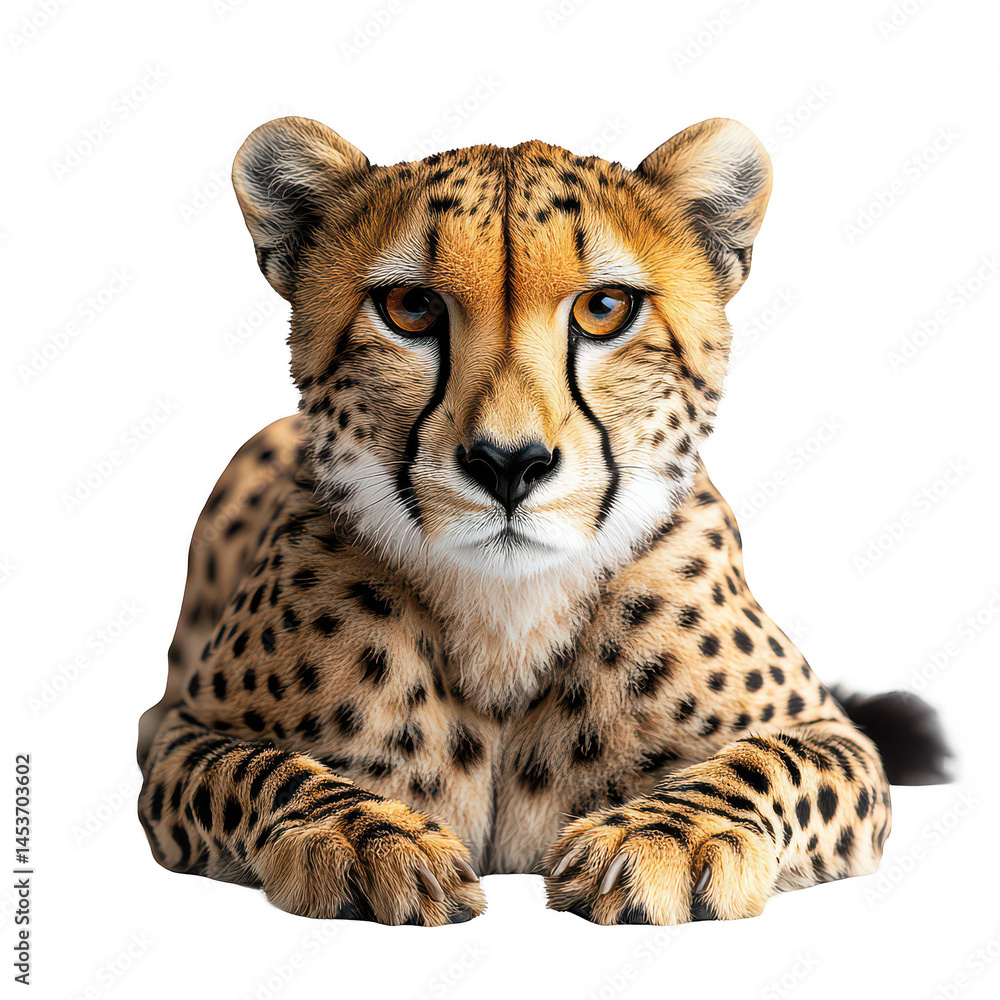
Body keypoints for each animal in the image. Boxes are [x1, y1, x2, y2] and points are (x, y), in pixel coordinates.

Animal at [137, 115, 950, 925]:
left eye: (605, 309)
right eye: (411, 308)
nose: (509, 463)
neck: (507, 622)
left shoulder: (834, 735)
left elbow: (768, 760)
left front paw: (665, 837)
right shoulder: (175, 731)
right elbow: (259, 764)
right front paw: (364, 836)